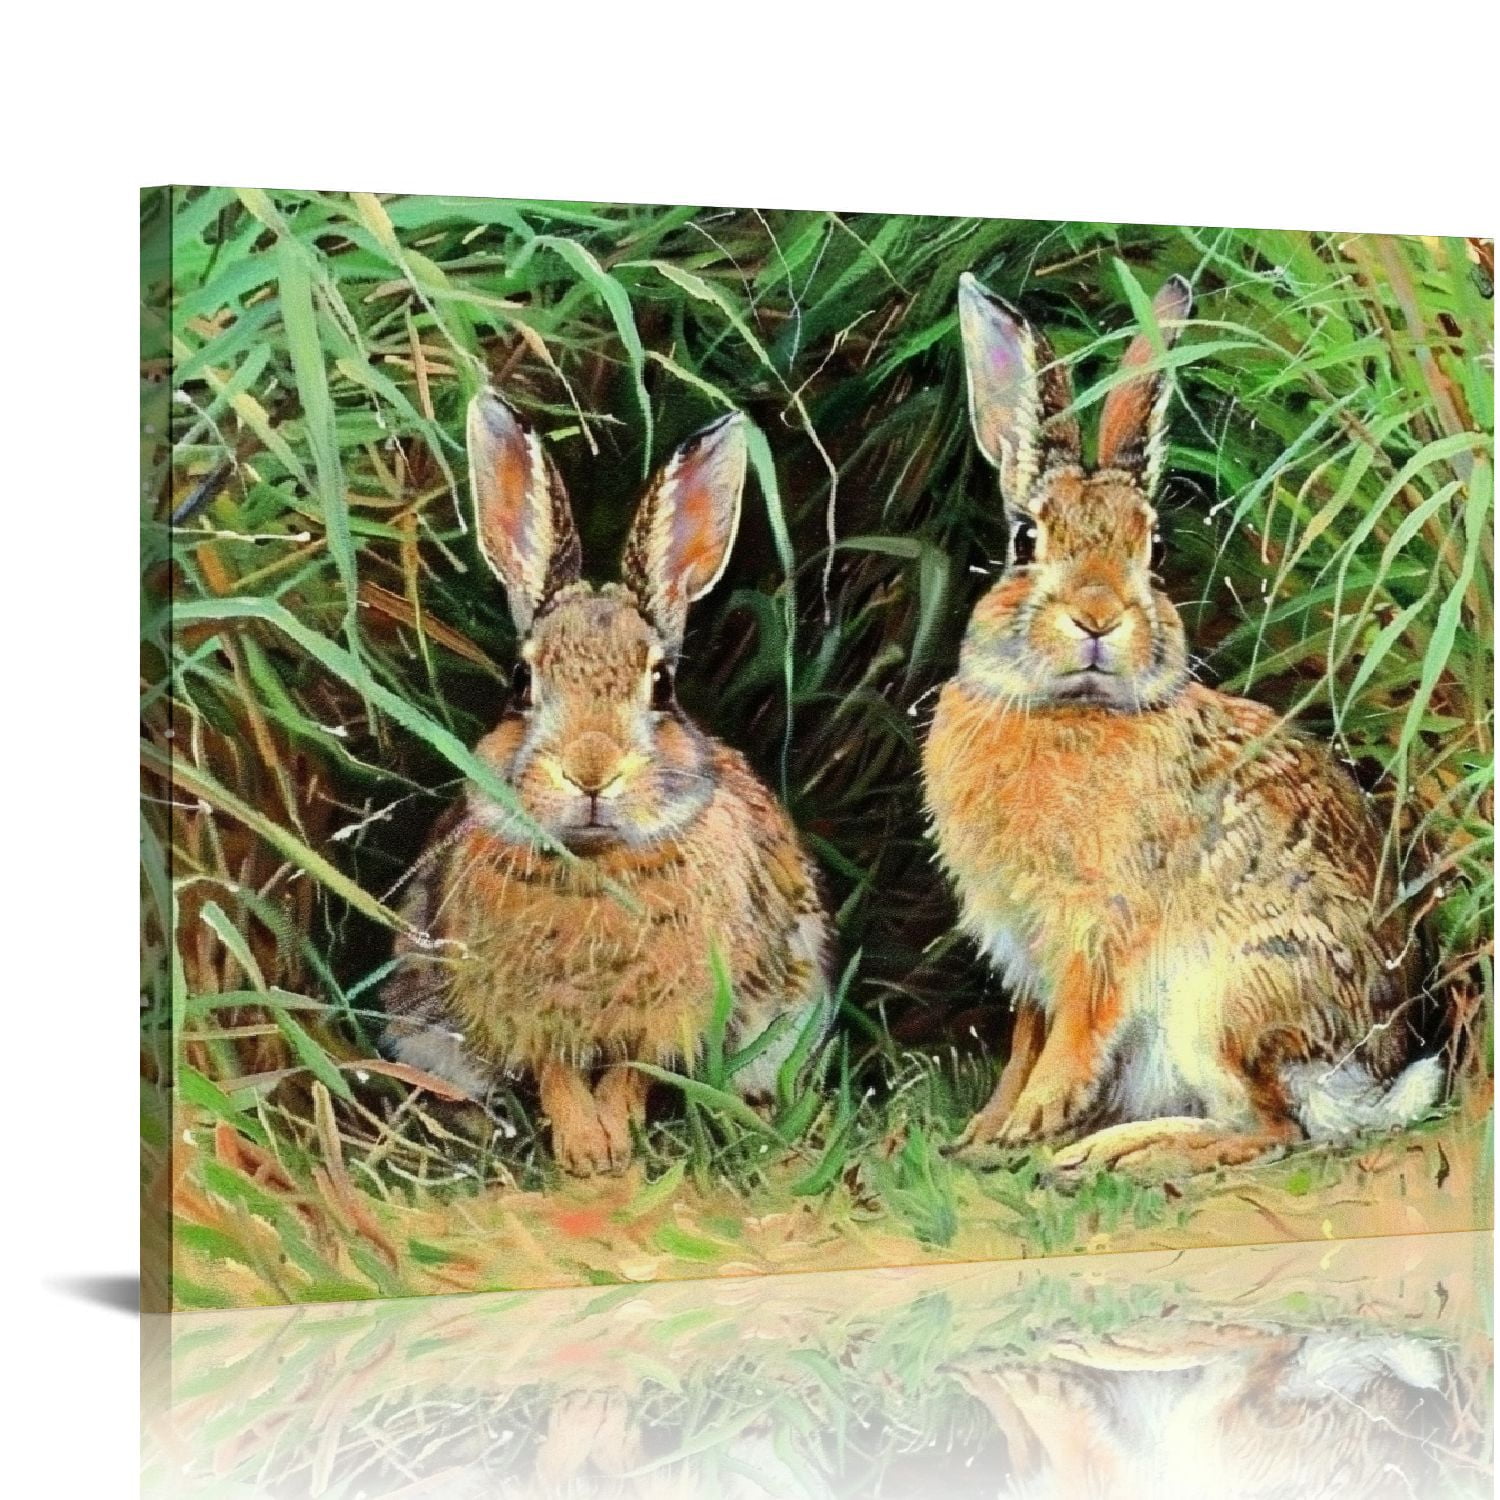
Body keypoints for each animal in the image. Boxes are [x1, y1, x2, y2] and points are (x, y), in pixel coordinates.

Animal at [382, 392, 832, 1177]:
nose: (591, 771)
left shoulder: (669, 1014)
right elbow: (558, 1071)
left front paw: (611, 1145)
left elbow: (632, 1071)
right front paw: (587, 1153)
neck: (596, 862)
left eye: (663, 684)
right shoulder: (524, 1013)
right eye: (520, 681)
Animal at [922, 272, 1444, 1178]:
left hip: (1224, 1001)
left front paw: (1033, 1123)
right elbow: (1025, 1040)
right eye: (1025, 540)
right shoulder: (1024, 952)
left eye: (1155, 550)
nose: (1098, 617)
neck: (1075, 711)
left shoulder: (1099, 932)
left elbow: (1075, 1035)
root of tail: (1361, 1075)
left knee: (1272, 1128)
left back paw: (1116, 1153)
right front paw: (984, 1133)